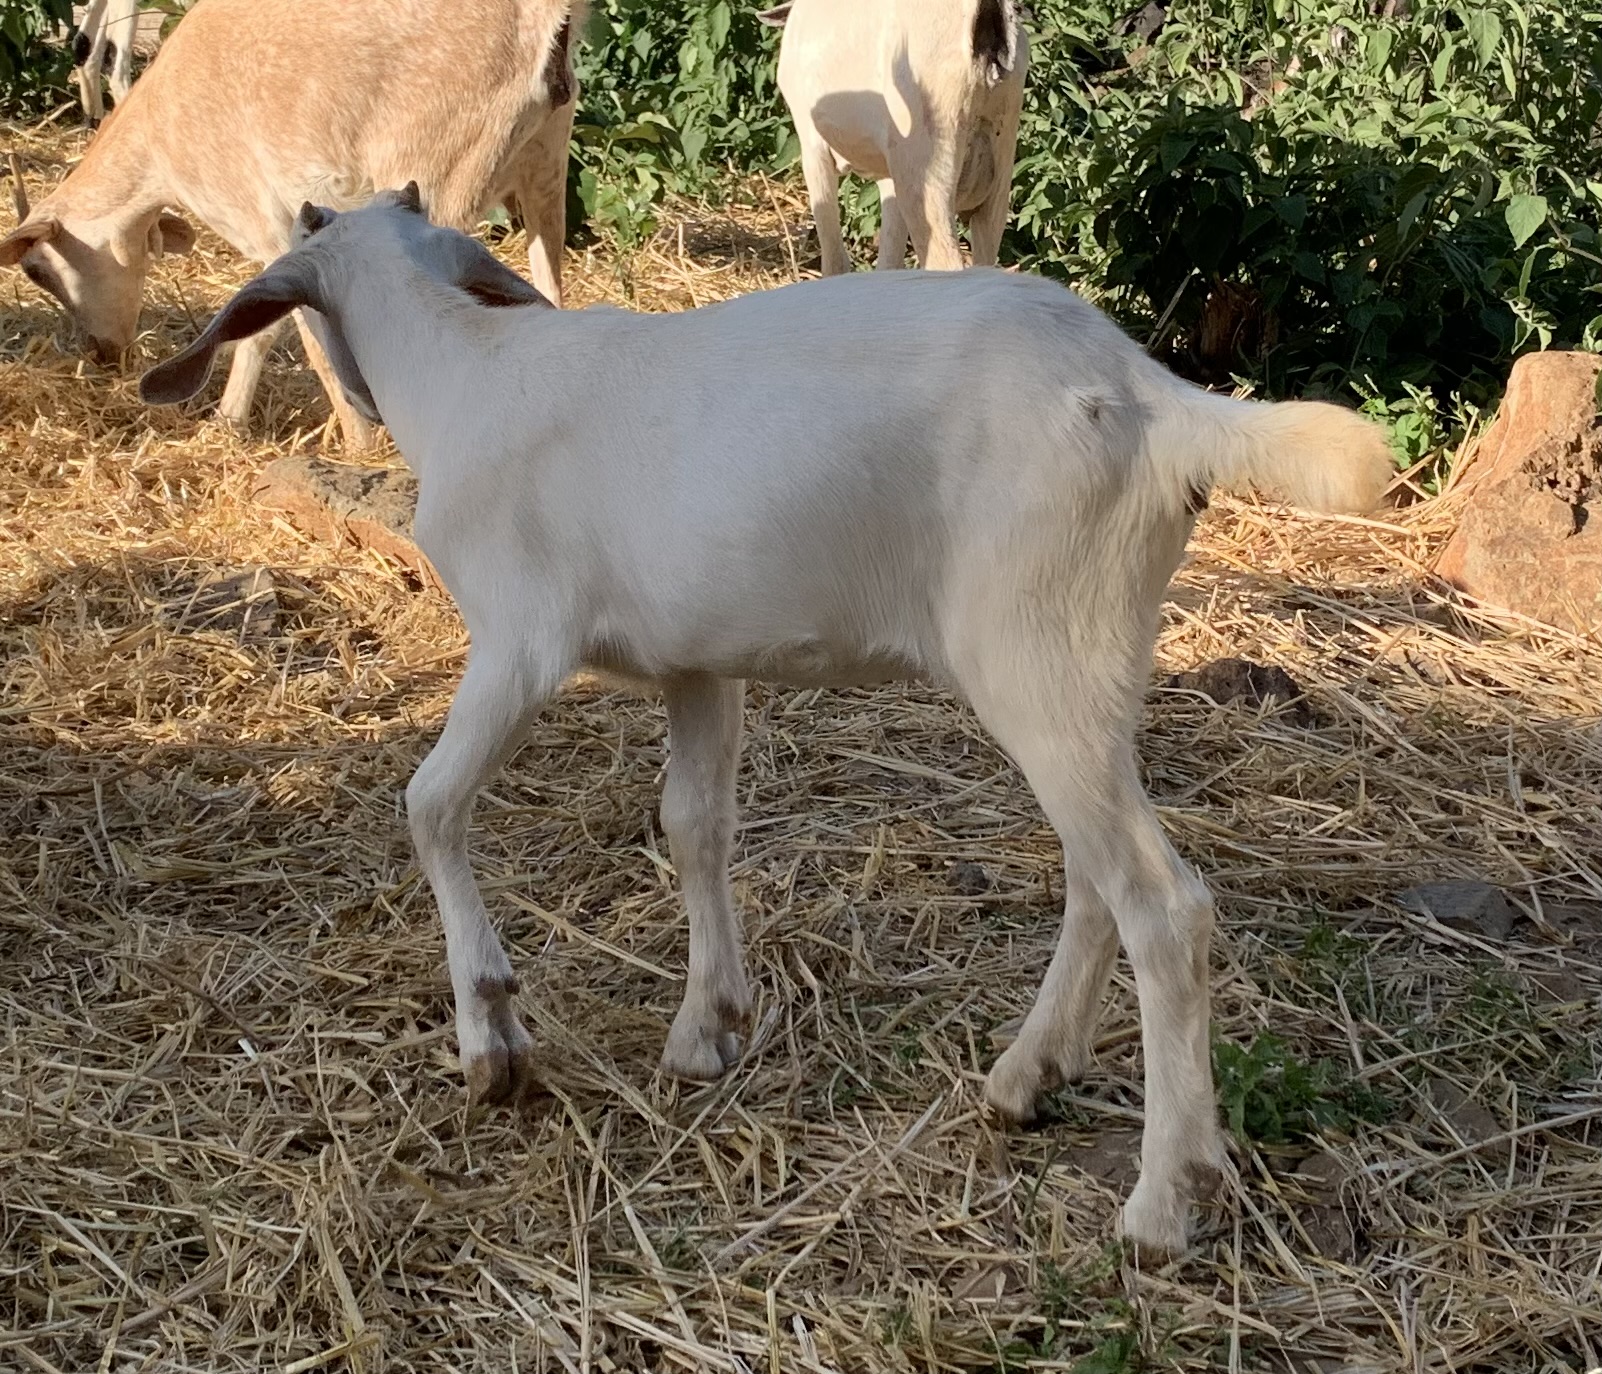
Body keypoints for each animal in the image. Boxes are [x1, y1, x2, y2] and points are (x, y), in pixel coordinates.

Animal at [2, 0, 581, 452]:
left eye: (36, 270)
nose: (102, 355)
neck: (158, 143)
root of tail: (548, 20)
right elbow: (260, 326)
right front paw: (228, 421)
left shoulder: (260, 217)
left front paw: (358, 449)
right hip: (544, 162)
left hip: (435, 173)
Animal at [140, 190, 1393, 1257]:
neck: (467, 375)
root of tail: (1152, 400)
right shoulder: (698, 662)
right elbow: (695, 826)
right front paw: (711, 1026)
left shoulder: (519, 640)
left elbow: (431, 803)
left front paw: (491, 1035)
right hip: (1094, 656)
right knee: (1103, 878)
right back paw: (1025, 1079)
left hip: (1033, 641)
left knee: (1164, 907)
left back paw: (1164, 1200)